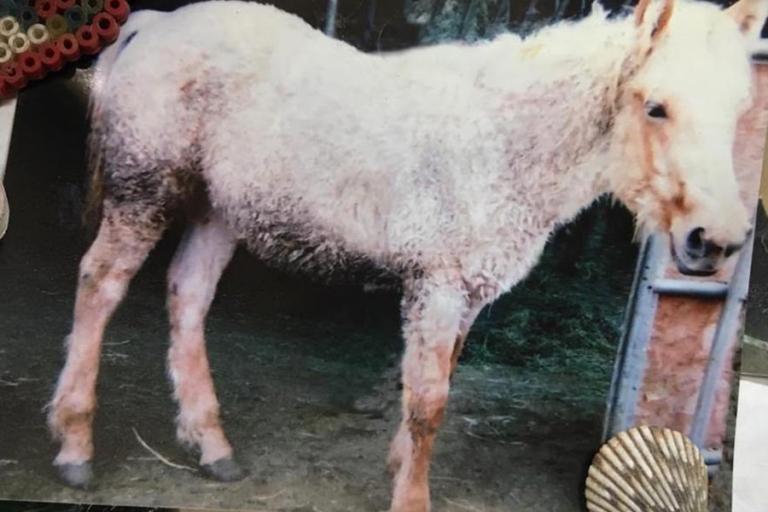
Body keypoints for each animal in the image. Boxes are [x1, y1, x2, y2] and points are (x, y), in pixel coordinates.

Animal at [46, 0, 767, 510]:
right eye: (656, 107)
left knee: (187, 297)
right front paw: (411, 497)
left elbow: (430, 387)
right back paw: (75, 445)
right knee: (100, 285)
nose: (715, 241)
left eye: (738, 109)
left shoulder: (467, 295)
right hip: (143, 194)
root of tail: (155, 23)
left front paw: (399, 470)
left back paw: (211, 445)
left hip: (217, 212)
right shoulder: (439, 287)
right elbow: (428, 403)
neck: (502, 140)